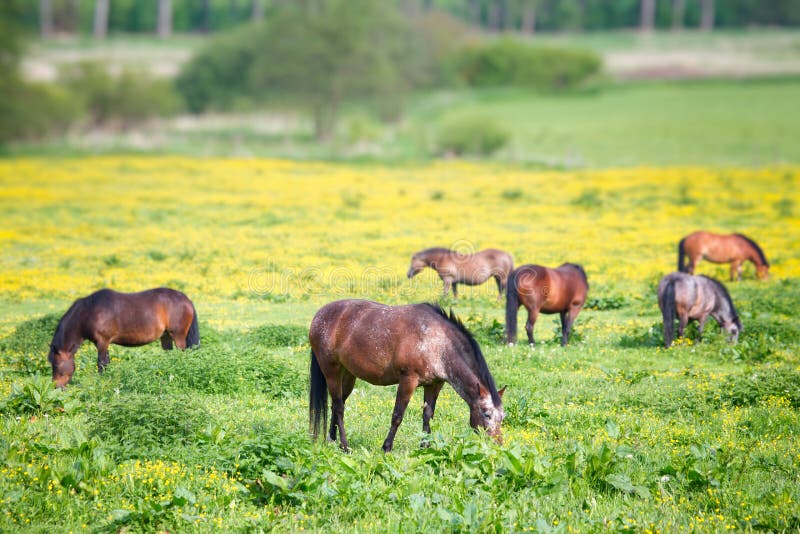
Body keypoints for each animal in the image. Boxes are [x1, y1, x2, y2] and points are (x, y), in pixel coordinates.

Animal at [48, 288, 200, 388]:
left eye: (56, 365)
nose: (56, 387)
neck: (89, 312)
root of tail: (186, 300)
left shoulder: (102, 342)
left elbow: (102, 364)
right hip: (166, 337)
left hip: (178, 337)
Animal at [308, 299, 505, 452]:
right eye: (486, 414)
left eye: (502, 417)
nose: (498, 445)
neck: (436, 341)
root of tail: (319, 315)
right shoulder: (408, 380)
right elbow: (397, 415)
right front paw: (387, 447)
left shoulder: (434, 384)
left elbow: (427, 415)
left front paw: (425, 446)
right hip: (332, 371)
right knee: (339, 407)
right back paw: (345, 446)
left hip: (348, 375)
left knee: (337, 404)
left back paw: (333, 440)